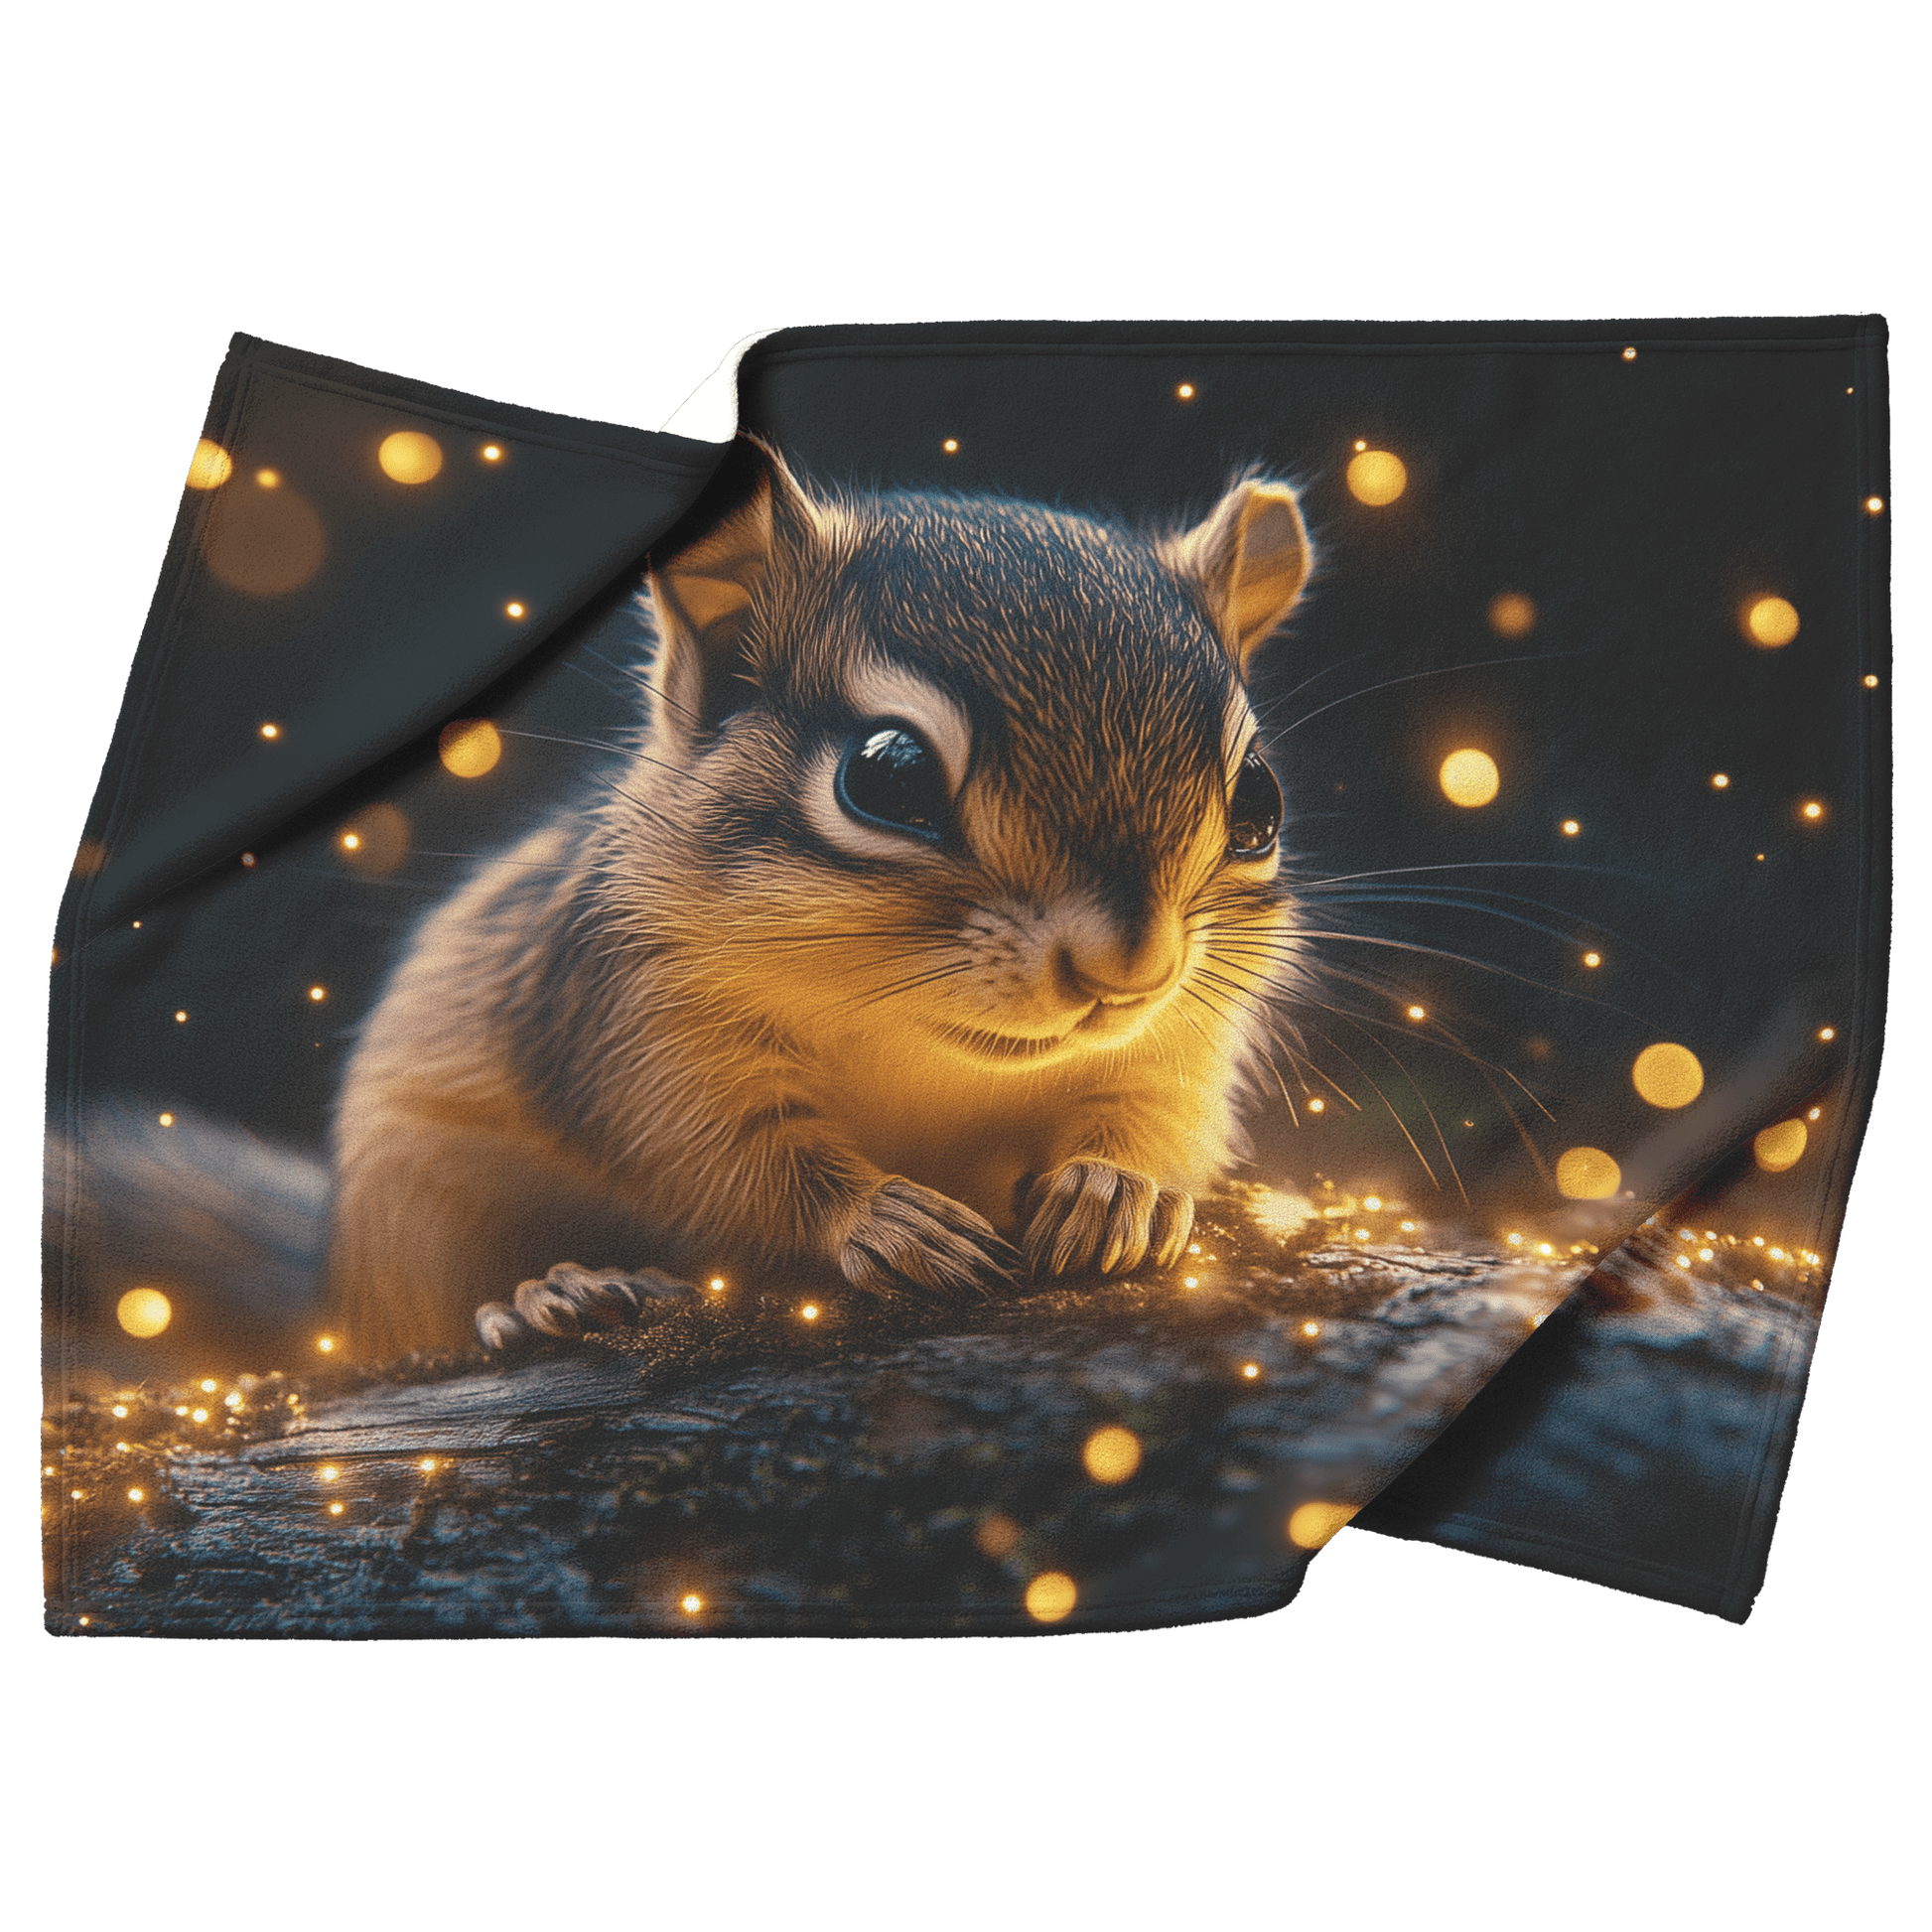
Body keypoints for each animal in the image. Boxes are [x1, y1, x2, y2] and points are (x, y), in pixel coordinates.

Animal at [314, 440, 1314, 1357]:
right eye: (888, 776)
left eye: (1260, 801)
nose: (1131, 971)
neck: (922, 1048)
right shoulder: (634, 1027)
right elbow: (730, 1162)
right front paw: (881, 1218)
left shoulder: (1185, 1039)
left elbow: (1159, 1114)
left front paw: (1118, 1189)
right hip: (414, 1207)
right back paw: (547, 1297)